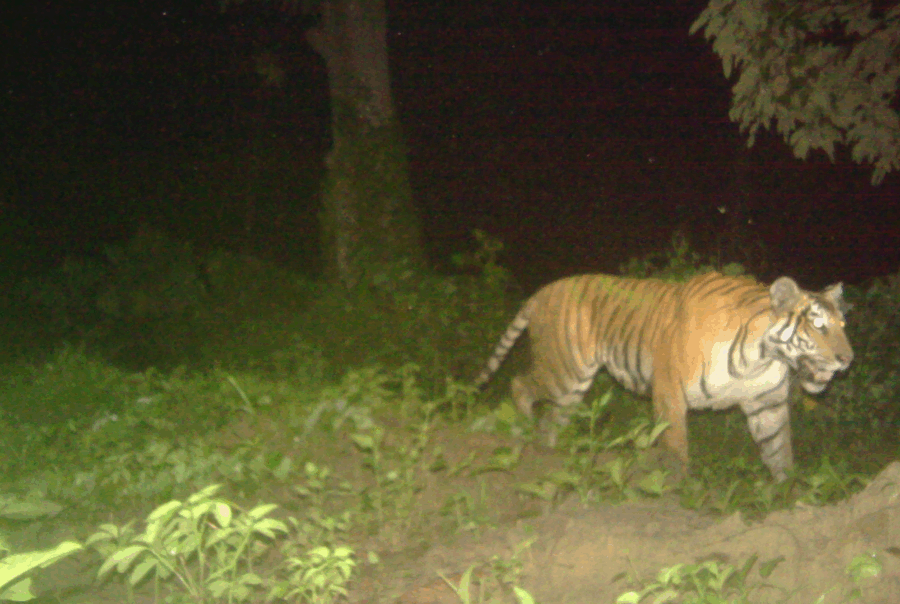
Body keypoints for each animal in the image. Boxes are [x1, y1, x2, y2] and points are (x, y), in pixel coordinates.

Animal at [475, 271, 853, 482]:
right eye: (818, 326)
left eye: (842, 325)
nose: (847, 360)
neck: (760, 357)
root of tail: (543, 290)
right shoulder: (669, 393)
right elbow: (676, 450)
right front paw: (679, 498)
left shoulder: (767, 404)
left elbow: (779, 453)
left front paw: (789, 502)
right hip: (562, 370)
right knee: (519, 386)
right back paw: (521, 443)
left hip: (572, 387)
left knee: (550, 420)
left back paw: (545, 459)